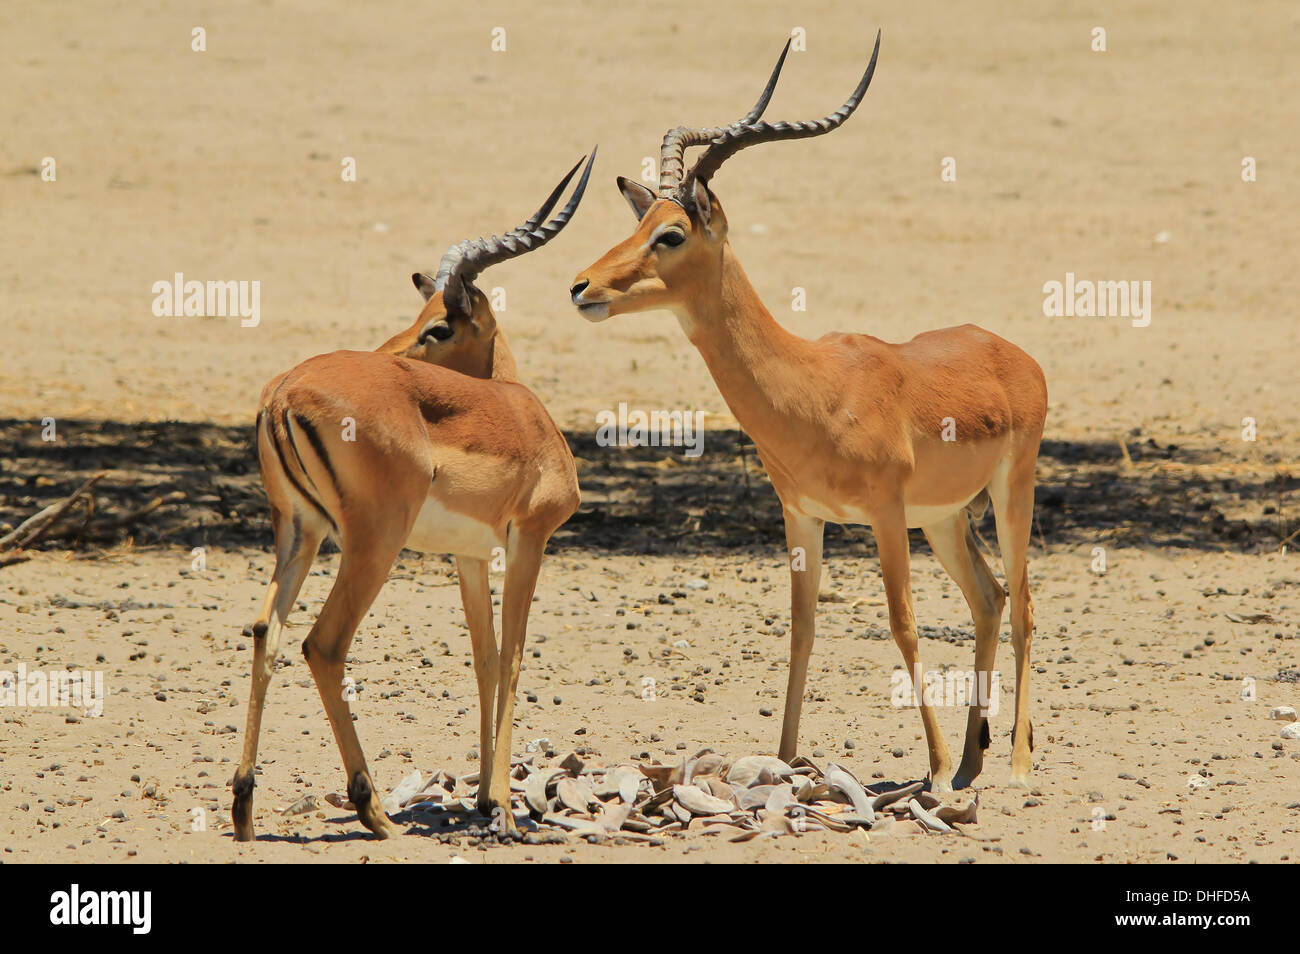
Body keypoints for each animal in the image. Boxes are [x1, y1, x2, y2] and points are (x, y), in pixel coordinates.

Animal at [232, 152, 594, 840]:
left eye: (438, 325)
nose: (384, 353)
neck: (521, 414)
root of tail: (285, 391)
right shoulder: (529, 539)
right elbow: (513, 659)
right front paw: (505, 810)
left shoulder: (470, 555)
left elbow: (484, 658)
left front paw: (486, 800)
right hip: (373, 543)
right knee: (322, 645)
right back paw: (373, 811)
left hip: (300, 533)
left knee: (266, 631)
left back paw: (242, 810)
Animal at [570, 33, 1048, 791]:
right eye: (639, 222)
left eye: (671, 234)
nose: (582, 286)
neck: (815, 387)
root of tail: (1012, 354)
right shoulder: (802, 515)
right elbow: (801, 628)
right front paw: (788, 757)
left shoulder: (883, 513)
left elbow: (902, 622)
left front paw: (937, 765)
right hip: (945, 517)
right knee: (990, 598)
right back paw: (976, 759)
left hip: (1009, 493)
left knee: (1025, 601)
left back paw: (1015, 763)